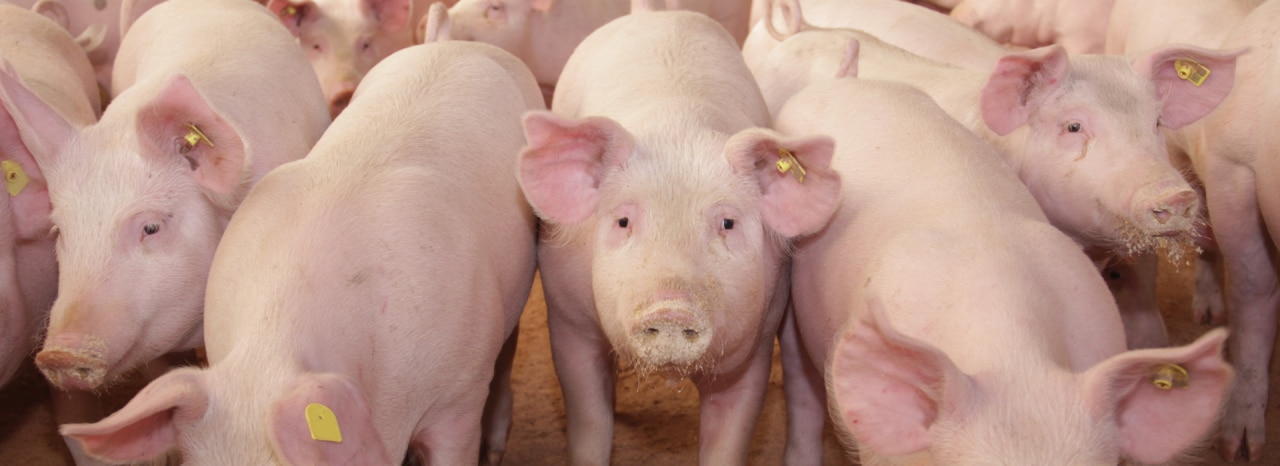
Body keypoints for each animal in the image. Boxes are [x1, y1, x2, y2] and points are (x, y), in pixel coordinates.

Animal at [519, 10, 839, 464]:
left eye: (727, 223)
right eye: (623, 221)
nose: (670, 308)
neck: (679, 128)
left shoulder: (755, 345)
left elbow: (729, 437)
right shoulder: (567, 322)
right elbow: (589, 422)